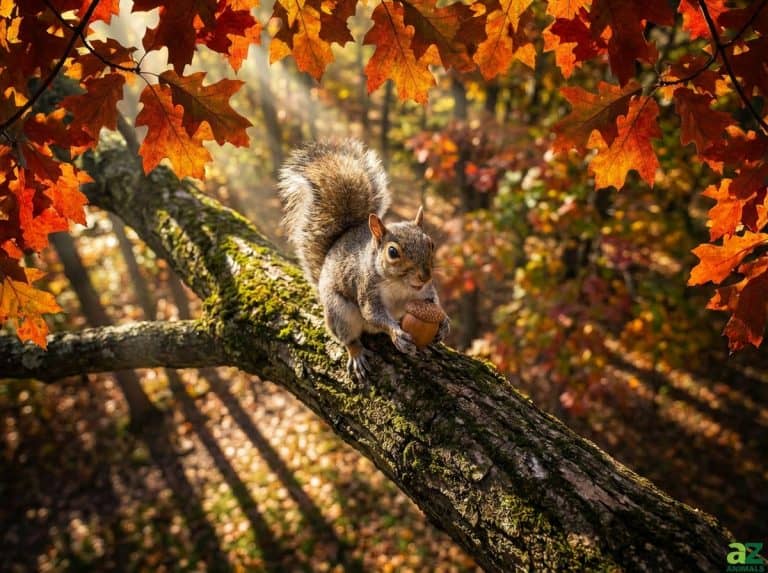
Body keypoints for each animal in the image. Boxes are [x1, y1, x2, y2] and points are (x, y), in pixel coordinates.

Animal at [278, 139, 450, 379]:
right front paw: (396, 334)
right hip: (339, 312)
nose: (425, 276)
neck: (400, 285)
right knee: (348, 336)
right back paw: (356, 353)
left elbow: (434, 301)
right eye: (392, 252)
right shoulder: (366, 288)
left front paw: (444, 322)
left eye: (431, 243)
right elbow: (373, 313)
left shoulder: (423, 294)